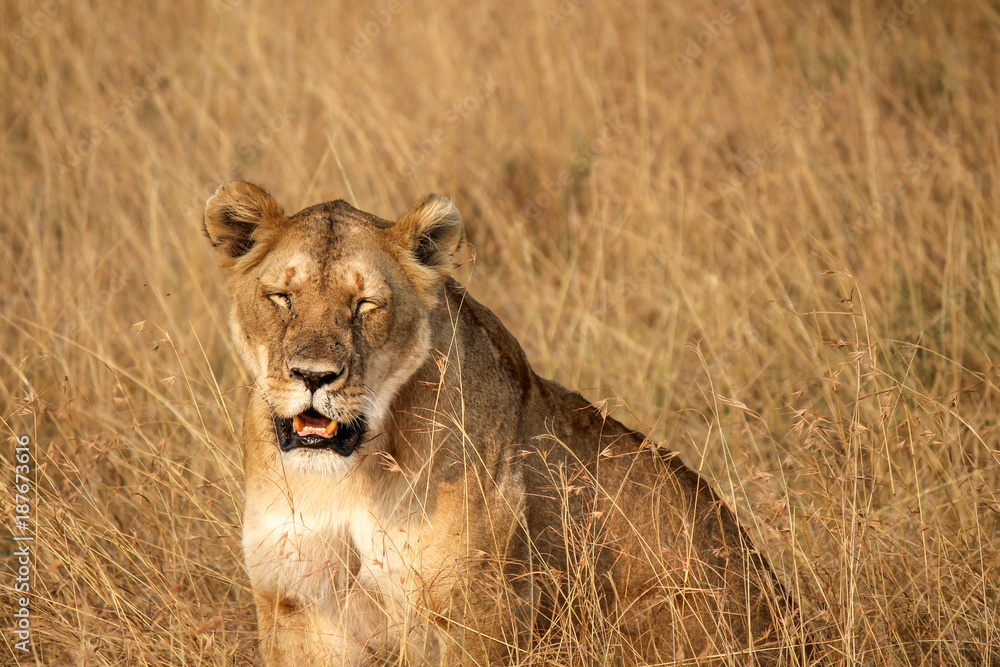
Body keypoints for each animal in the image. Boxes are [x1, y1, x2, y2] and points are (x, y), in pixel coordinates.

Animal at [203, 181, 804, 666]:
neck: (345, 478)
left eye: (365, 304)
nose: (314, 375)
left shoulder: (480, 605)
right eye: (282, 297)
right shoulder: (299, 606)